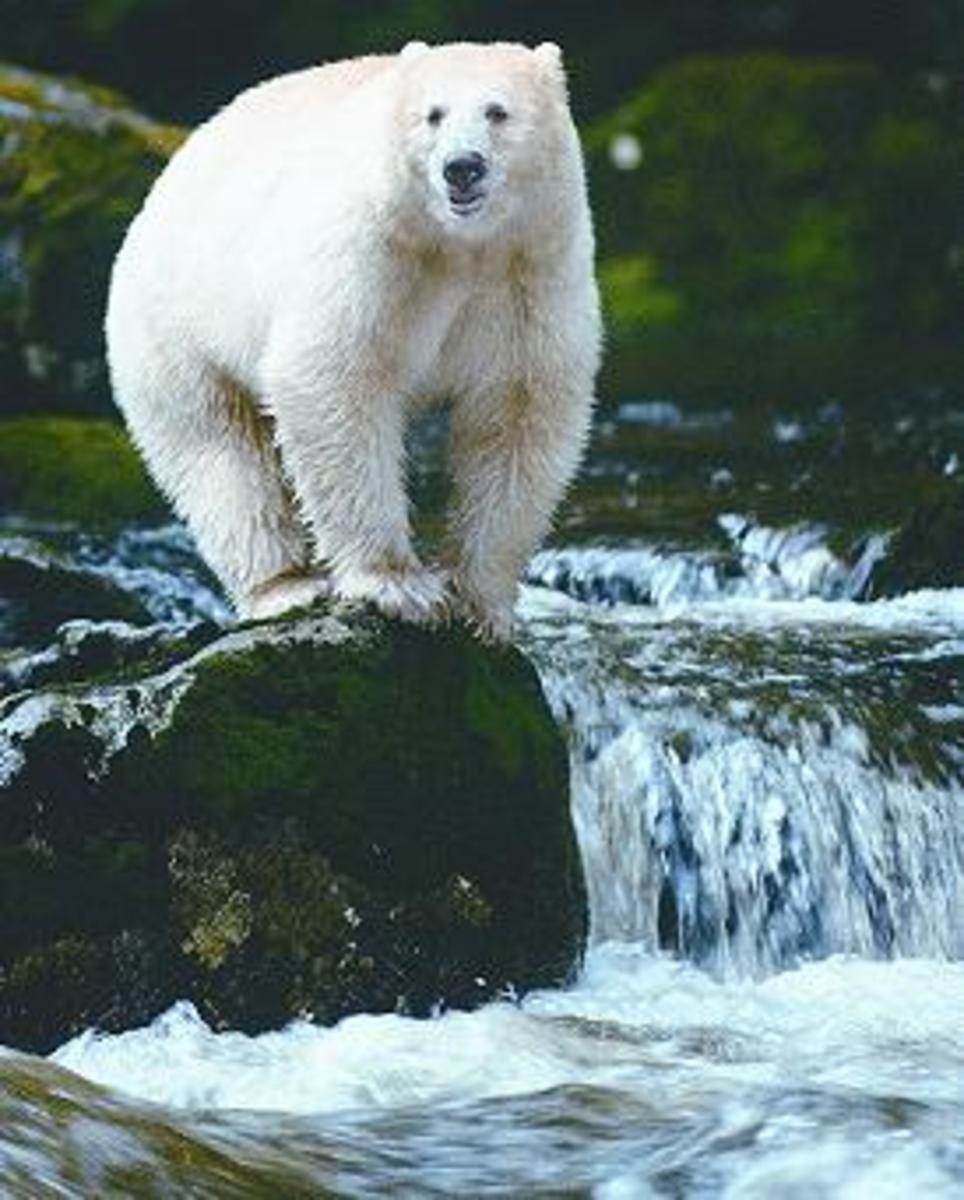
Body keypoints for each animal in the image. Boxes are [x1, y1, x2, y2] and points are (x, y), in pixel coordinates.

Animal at [106, 40, 601, 639]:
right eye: (432, 114)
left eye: (497, 112)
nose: (462, 167)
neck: (460, 247)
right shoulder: (371, 254)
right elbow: (333, 381)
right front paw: (400, 587)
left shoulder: (528, 275)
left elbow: (518, 413)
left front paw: (479, 602)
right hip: (177, 327)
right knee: (218, 455)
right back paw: (285, 585)